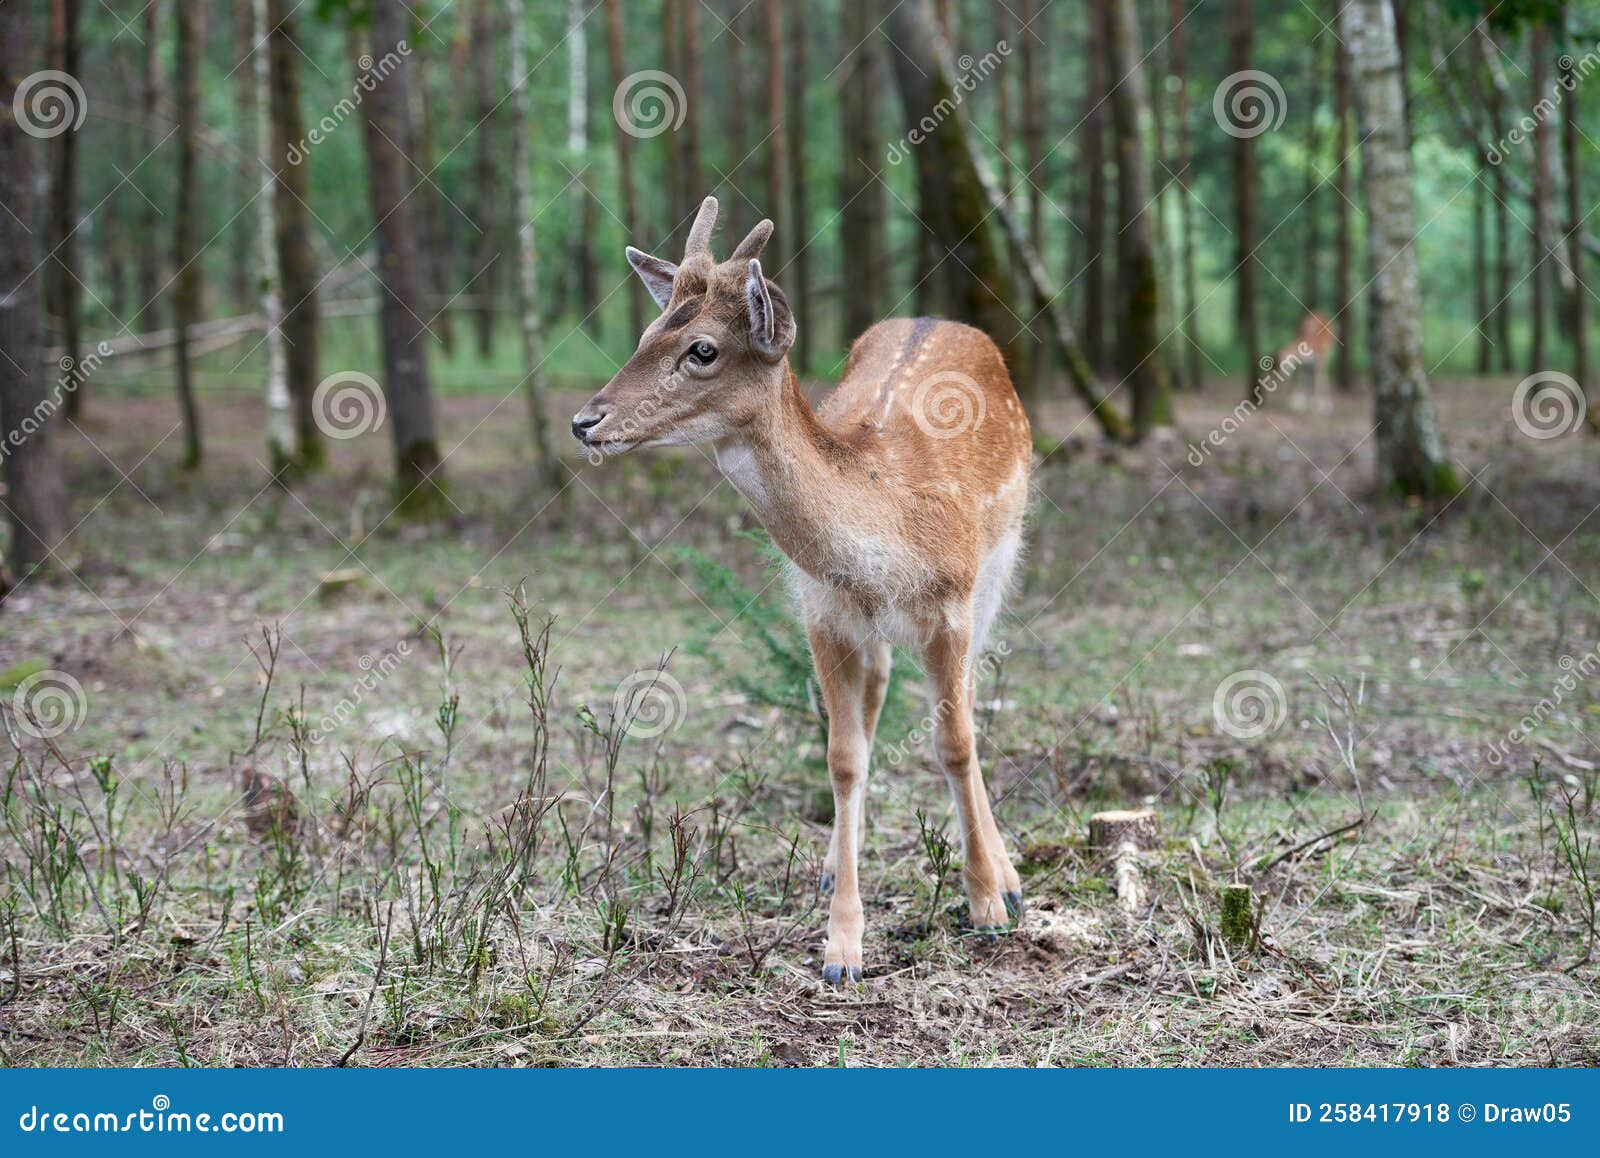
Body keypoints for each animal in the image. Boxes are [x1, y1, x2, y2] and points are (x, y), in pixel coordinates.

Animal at [572, 197, 1031, 984]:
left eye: (701, 350)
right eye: (645, 334)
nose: (585, 420)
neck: (885, 532)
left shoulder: (951, 602)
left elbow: (954, 740)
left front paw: (987, 905)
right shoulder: (822, 612)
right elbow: (843, 756)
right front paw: (842, 947)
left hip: (1002, 563)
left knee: (970, 701)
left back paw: (1005, 876)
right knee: (876, 703)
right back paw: (831, 868)